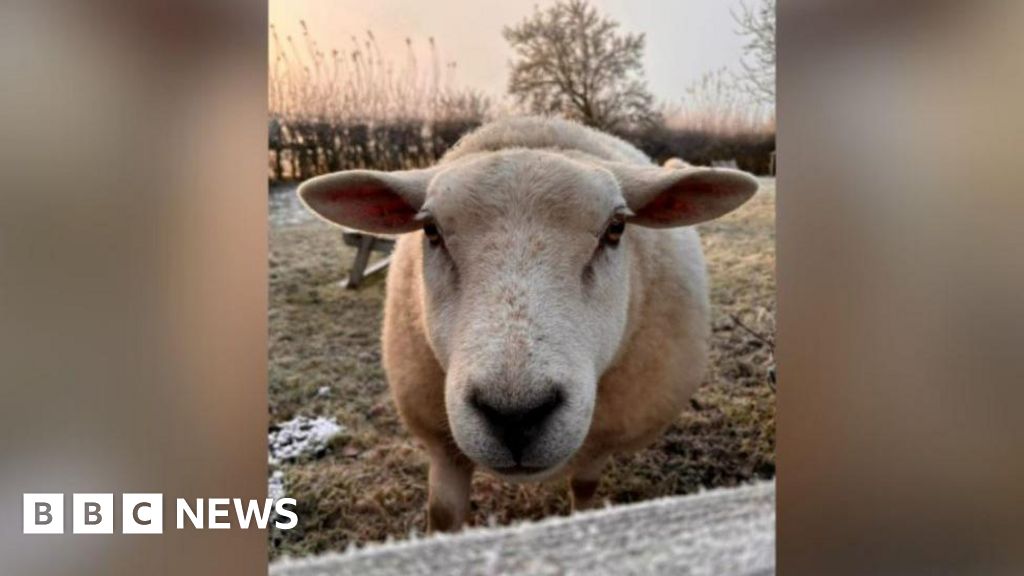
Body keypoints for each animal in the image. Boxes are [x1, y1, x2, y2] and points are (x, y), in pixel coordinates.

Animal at [298, 116, 758, 531]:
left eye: (615, 229)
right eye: (430, 230)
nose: (515, 416)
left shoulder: (604, 434)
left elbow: (585, 487)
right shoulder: (442, 444)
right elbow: (443, 514)